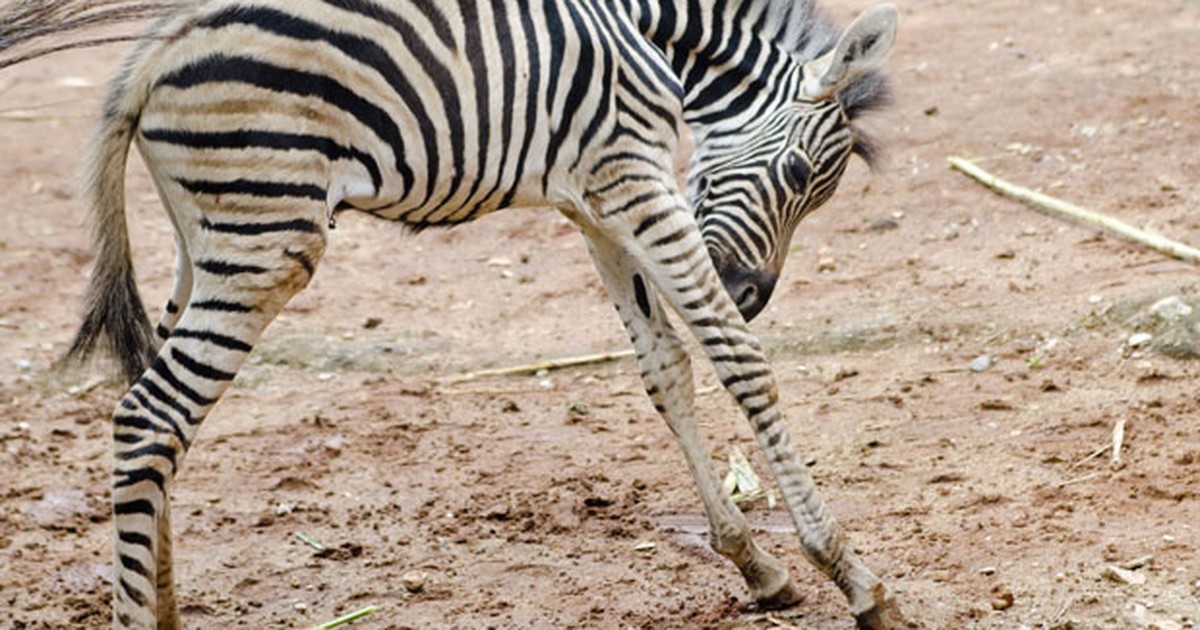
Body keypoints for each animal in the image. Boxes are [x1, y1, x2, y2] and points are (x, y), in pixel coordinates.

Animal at [0, 0, 905, 627]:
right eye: (799, 175)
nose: (752, 290)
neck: (644, 31)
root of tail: (156, 50)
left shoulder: (594, 201)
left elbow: (666, 370)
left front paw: (755, 564)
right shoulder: (635, 181)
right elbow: (736, 360)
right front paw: (851, 576)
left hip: (209, 241)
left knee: (165, 429)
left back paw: (166, 603)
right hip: (268, 241)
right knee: (149, 418)